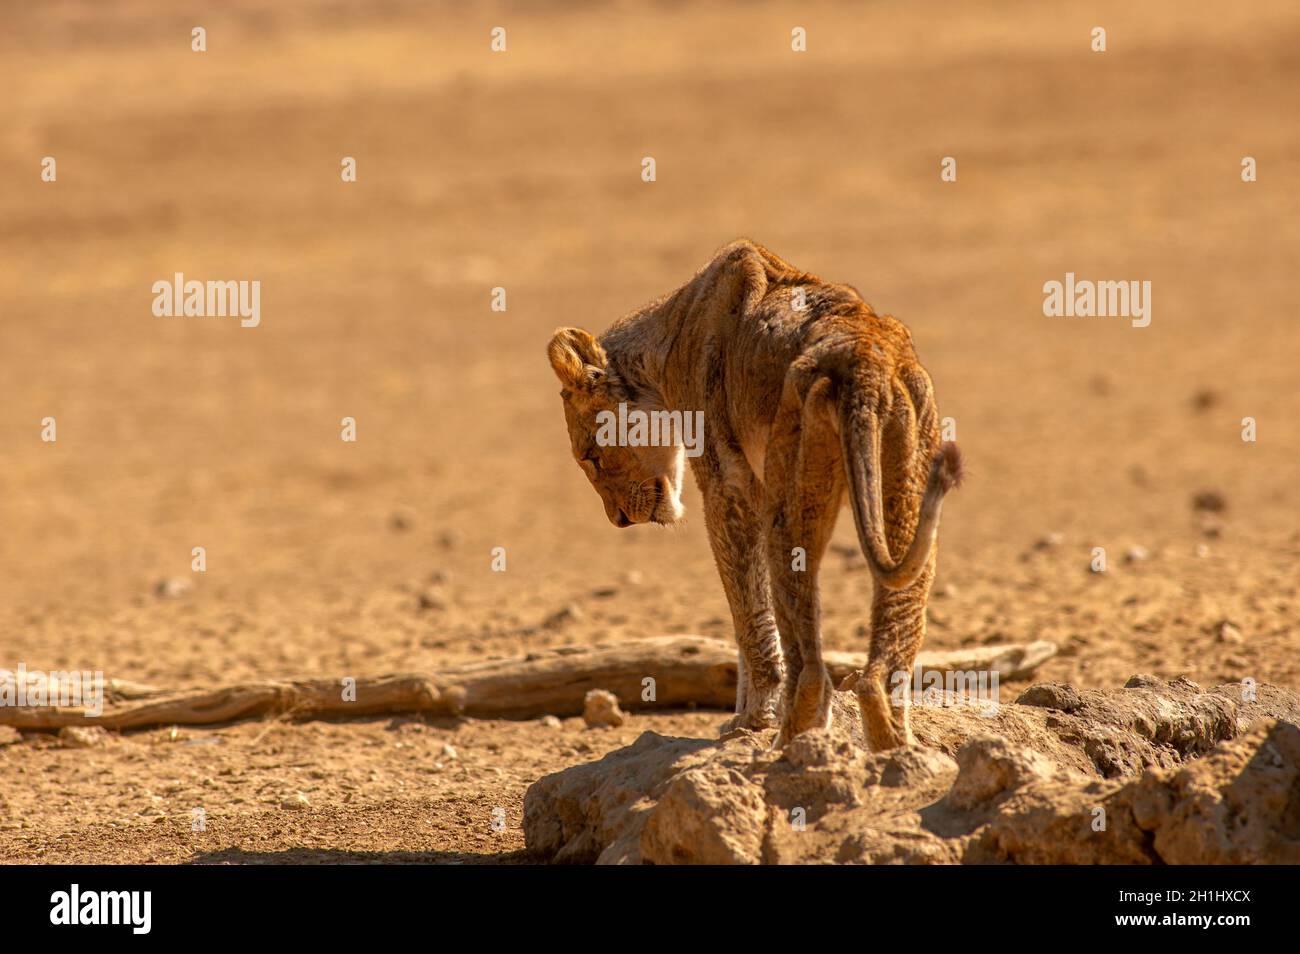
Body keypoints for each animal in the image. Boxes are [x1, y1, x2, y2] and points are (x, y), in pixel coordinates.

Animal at [546, 240, 962, 749]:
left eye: (589, 456)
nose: (619, 518)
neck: (664, 341)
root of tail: (863, 359)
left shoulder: (727, 484)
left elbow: (747, 610)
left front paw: (751, 720)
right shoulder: (760, 490)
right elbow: (748, 605)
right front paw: (743, 718)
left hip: (795, 501)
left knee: (812, 666)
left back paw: (789, 746)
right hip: (907, 485)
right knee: (888, 649)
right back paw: (895, 749)